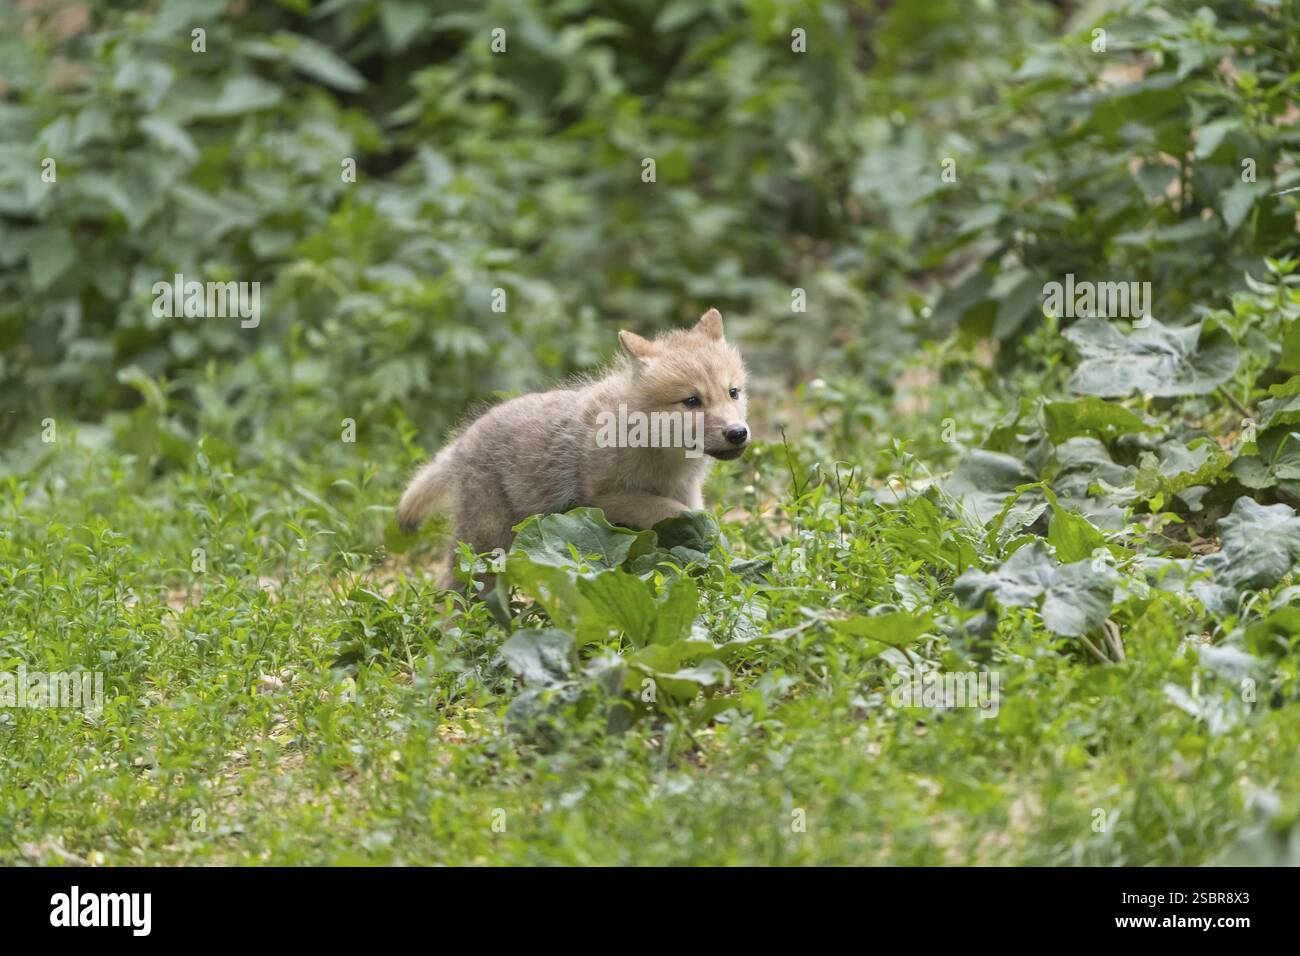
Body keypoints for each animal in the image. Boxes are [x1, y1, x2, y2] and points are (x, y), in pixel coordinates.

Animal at [396, 308, 749, 588]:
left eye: (733, 392)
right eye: (691, 401)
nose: (738, 433)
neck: (661, 454)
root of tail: (461, 440)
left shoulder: (686, 493)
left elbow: (699, 523)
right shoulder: (606, 497)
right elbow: (687, 515)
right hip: (487, 542)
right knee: (452, 587)